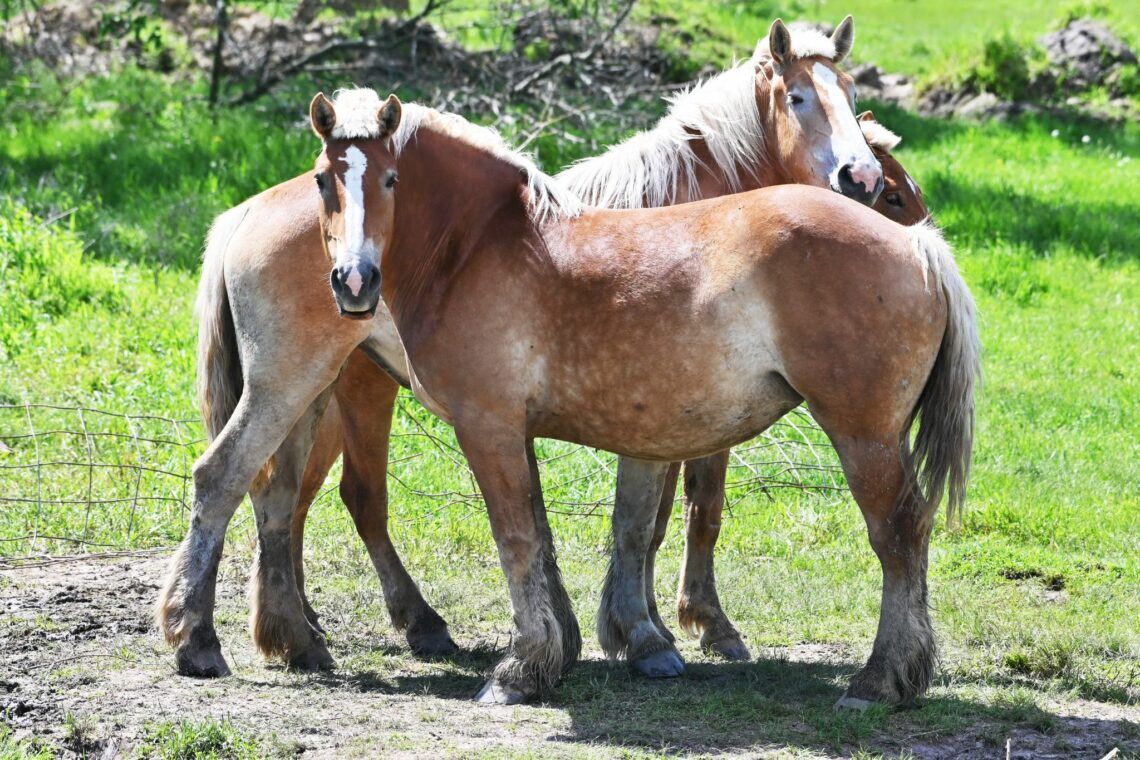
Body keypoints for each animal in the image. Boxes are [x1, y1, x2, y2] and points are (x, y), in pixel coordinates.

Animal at [157, 17, 915, 681]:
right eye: (798, 97)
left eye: (850, 94)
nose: (860, 179)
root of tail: (245, 212)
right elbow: (677, 514)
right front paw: (668, 631)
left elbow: (659, 516)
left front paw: (640, 631)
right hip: (304, 385)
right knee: (260, 484)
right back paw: (217, 638)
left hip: (322, 396)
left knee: (283, 496)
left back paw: (301, 635)